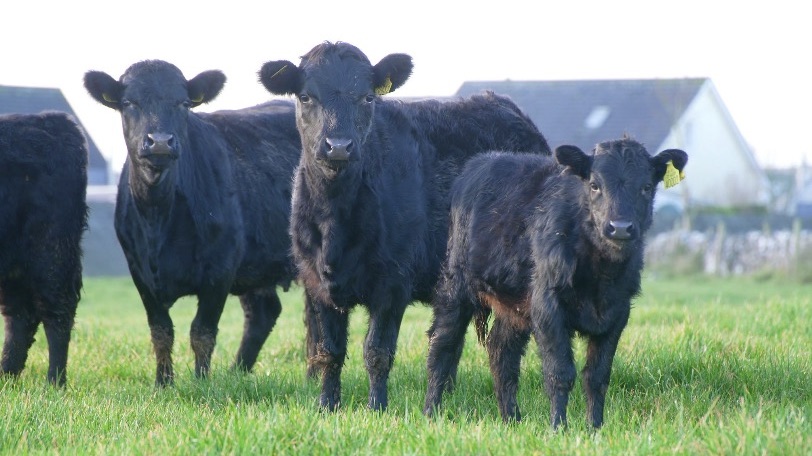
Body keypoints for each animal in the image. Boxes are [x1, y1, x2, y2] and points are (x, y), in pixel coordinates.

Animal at [0, 112, 88, 386]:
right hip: (15, 263)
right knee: (20, 317)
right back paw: (7, 376)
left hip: (51, 254)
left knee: (58, 313)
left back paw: (55, 382)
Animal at [83, 60, 315, 386]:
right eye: (129, 103)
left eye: (183, 104)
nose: (160, 142)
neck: (158, 218)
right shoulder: (140, 273)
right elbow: (161, 332)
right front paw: (163, 383)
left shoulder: (219, 270)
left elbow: (202, 332)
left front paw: (201, 382)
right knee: (263, 312)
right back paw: (238, 372)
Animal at [259, 41, 551, 412]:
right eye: (306, 96)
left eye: (368, 97)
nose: (338, 146)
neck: (335, 222)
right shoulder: (316, 284)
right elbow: (329, 351)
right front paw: (327, 405)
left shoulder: (393, 283)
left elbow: (377, 352)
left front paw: (377, 407)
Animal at [423, 137, 688, 429]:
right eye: (594, 185)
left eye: (646, 187)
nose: (619, 227)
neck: (600, 275)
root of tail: (482, 161)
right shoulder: (548, 305)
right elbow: (560, 372)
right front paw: (559, 426)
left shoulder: (618, 311)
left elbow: (597, 376)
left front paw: (595, 427)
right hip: (455, 285)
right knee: (442, 345)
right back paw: (431, 413)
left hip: (514, 306)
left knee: (501, 351)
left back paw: (511, 419)